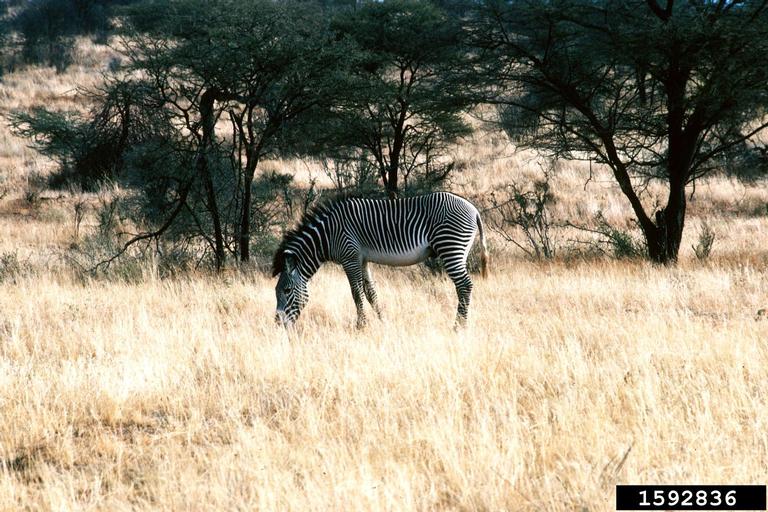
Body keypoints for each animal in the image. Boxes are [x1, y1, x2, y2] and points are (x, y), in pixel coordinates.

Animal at [272, 192, 488, 329]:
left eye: (287, 290)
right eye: (277, 291)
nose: (278, 324)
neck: (327, 235)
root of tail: (473, 208)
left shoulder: (350, 257)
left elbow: (356, 294)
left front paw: (361, 326)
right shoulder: (362, 259)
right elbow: (371, 293)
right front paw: (383, 322)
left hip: (450, 246)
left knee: (465, 285)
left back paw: (459, 327)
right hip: (459, 250)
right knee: (463, 286)